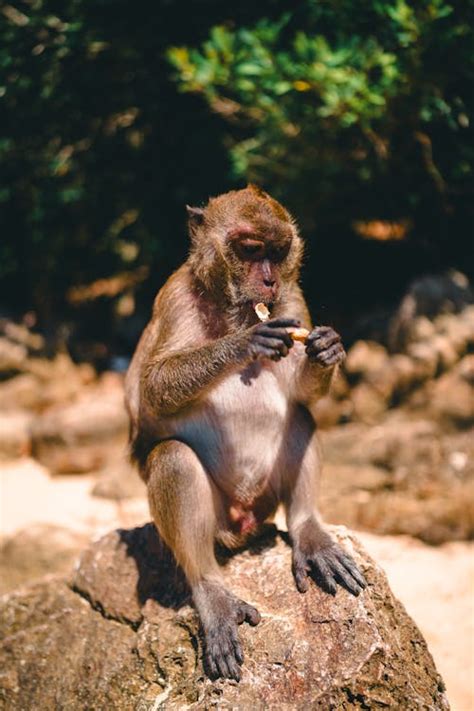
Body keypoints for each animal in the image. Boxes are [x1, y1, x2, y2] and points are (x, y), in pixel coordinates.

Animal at [125, 184, 366, 681]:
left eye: (277, 251)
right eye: (251, 250)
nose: (269, 280)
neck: (231, 308)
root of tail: (245, 522)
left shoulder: (292, 302)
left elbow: (300, 391)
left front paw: (325, 348)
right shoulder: (176, 297)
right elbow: (152, 388)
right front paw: (244, 344)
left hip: (268, 496)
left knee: (300, 417)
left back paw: (308, 530)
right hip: (220, 521)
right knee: (173, 457)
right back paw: (211, 591)